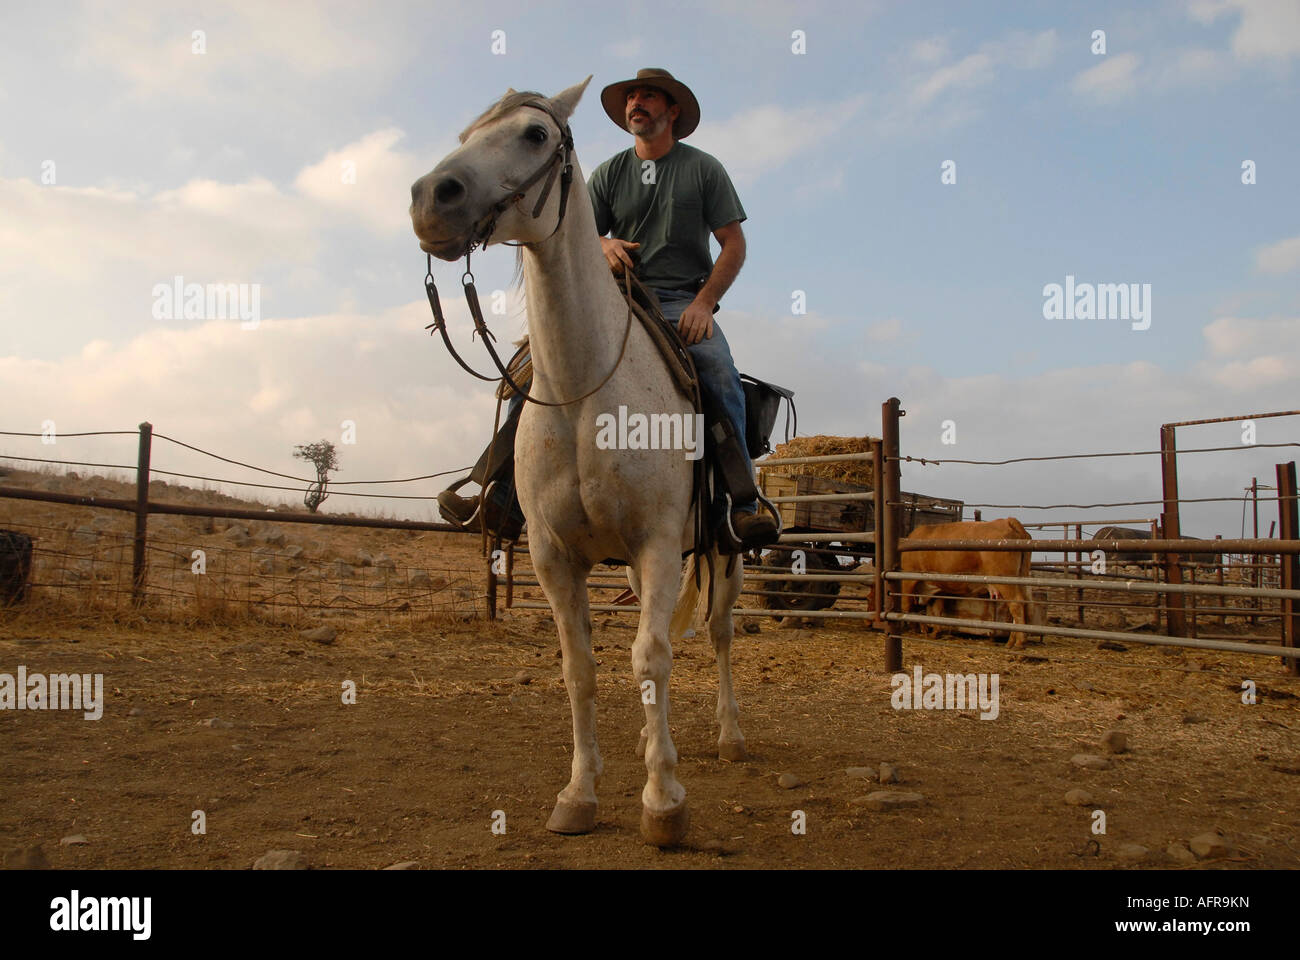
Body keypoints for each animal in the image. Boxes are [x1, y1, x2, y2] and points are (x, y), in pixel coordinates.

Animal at [898, 517, 1041, 649]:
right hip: (1021, 578)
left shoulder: (907, 580)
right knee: (1025, 604)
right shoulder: (937, 586)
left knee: (1016, 604)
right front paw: (933, 631)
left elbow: (906, 606)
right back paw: (1011, 641)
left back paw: (1019, 642)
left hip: (1005, 580)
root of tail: (1007, 521)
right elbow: (936, 609)